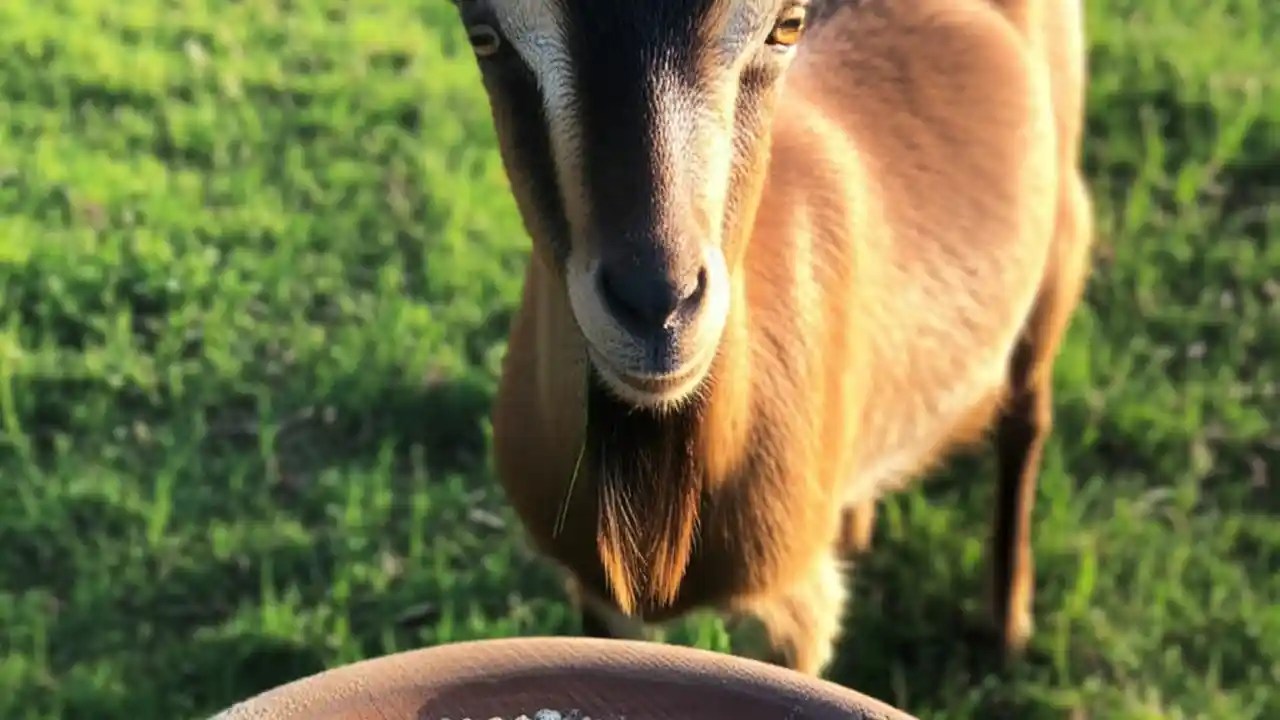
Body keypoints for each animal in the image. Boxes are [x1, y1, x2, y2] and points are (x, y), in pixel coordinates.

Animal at [454, 0, 1094, 676]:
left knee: (1025, 420)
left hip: (1058, 265)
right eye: (484, 35)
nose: (657, 305)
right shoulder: (597, 595)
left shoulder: (794, 613)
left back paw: (1008, 626)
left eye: (786, 25)